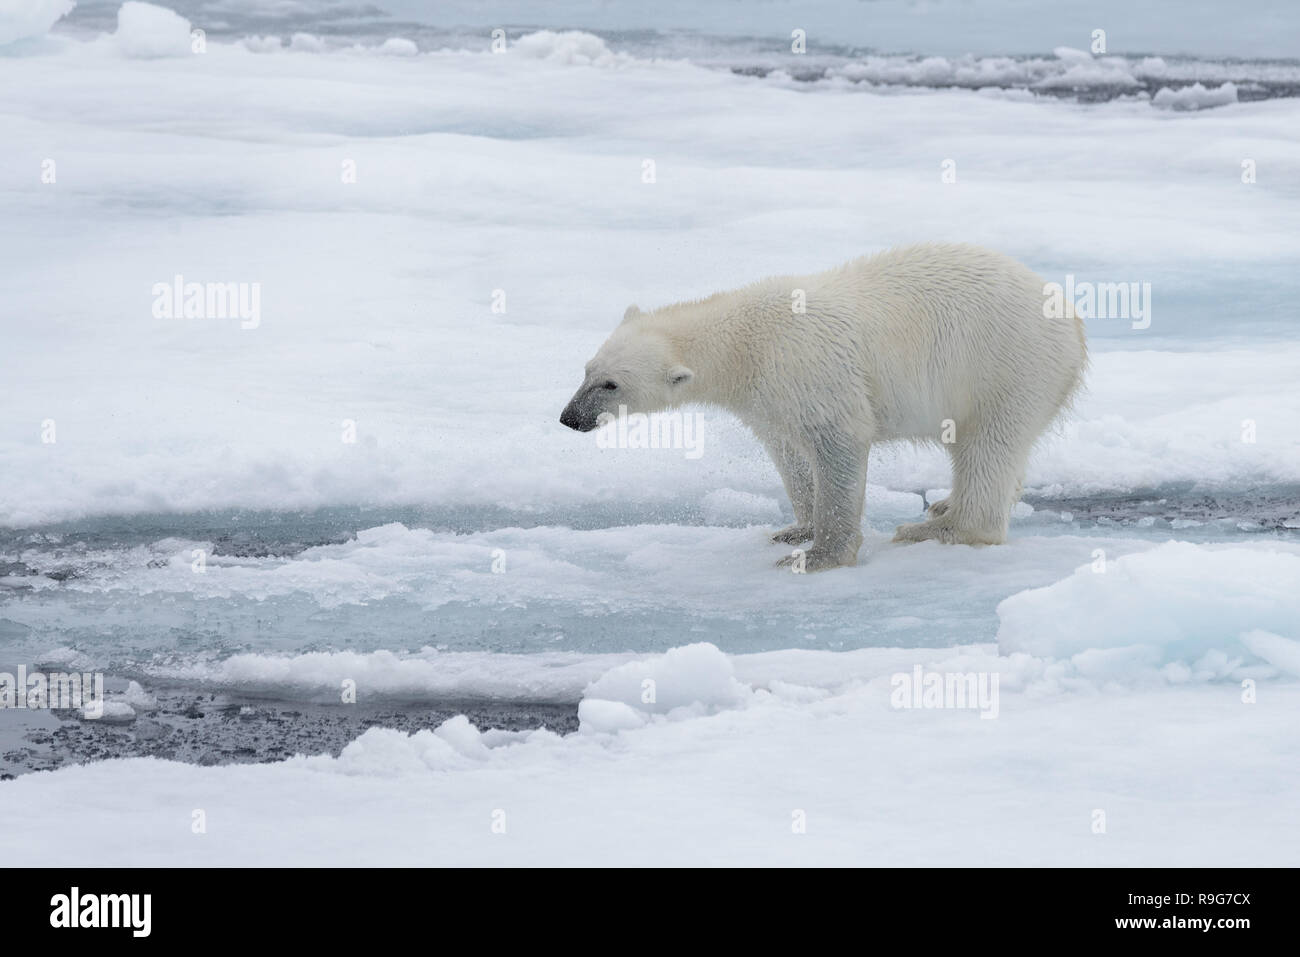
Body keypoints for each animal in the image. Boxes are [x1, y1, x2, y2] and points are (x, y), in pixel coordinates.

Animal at [560, 243, 1087, 571]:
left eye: (611, 385)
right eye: (586, 369)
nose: (570, 418)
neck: (745, 342)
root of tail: (1073, 320)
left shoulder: (811, 369)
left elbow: (839, 445)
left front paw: (819, 556)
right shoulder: (769, 396)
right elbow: (789, 452)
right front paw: (796, 529)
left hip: (1003, 368)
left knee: (987, 444)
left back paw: (935, 527)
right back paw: (944, 504)